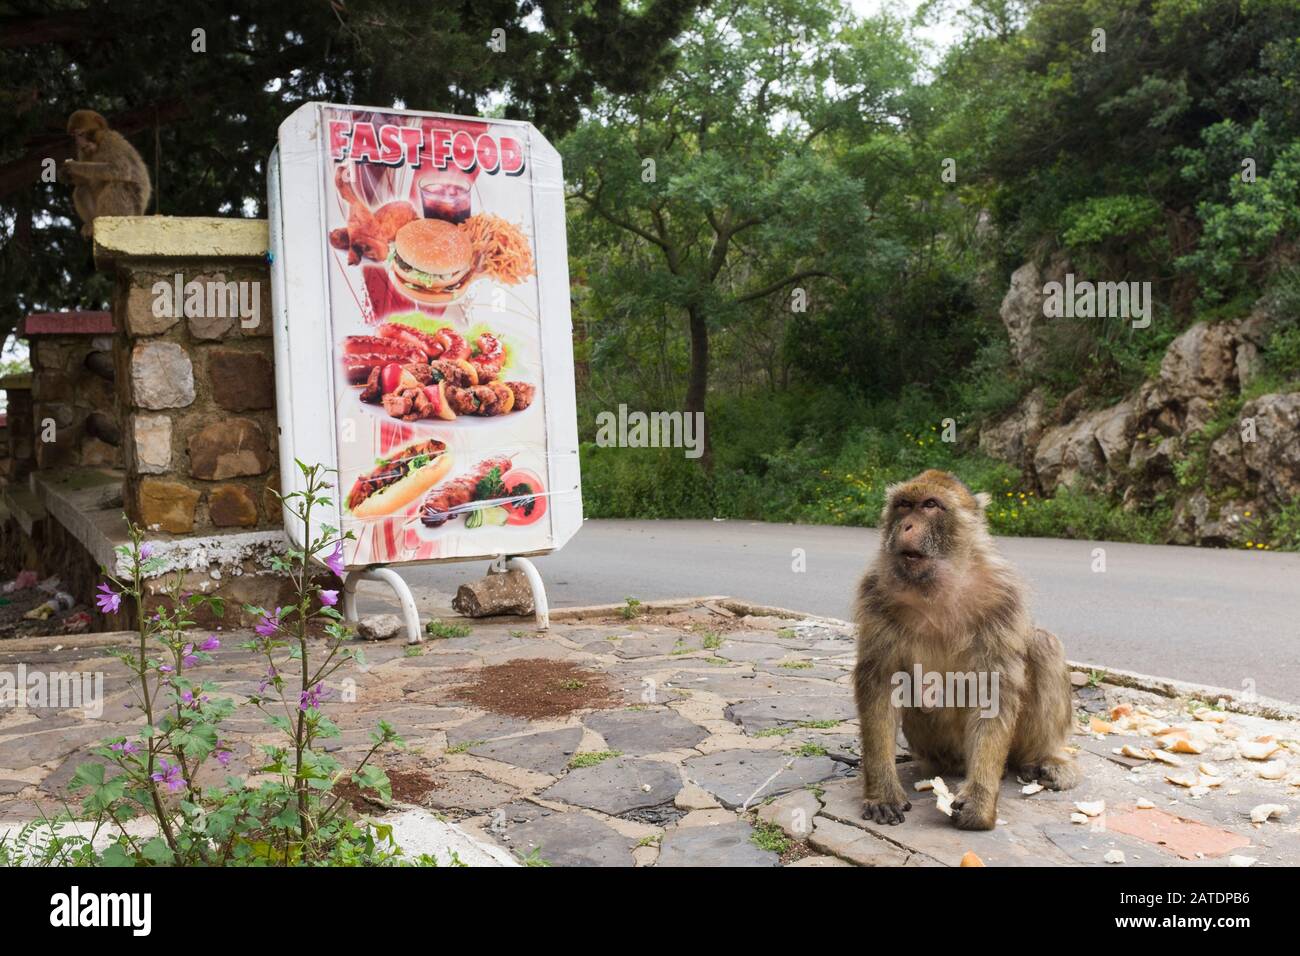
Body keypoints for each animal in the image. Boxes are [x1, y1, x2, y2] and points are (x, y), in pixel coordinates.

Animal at [853, 469, 1077, 831]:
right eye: (904, 505)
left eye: (930, 505)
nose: (906, 526)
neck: (938, 583)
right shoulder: (875, 591)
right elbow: (881, 681)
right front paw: (882, 792)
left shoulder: (1004, 596)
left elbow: (993, 687)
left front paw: (979, 800)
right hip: (937, 748)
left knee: (1042, 644)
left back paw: (1041, 760)